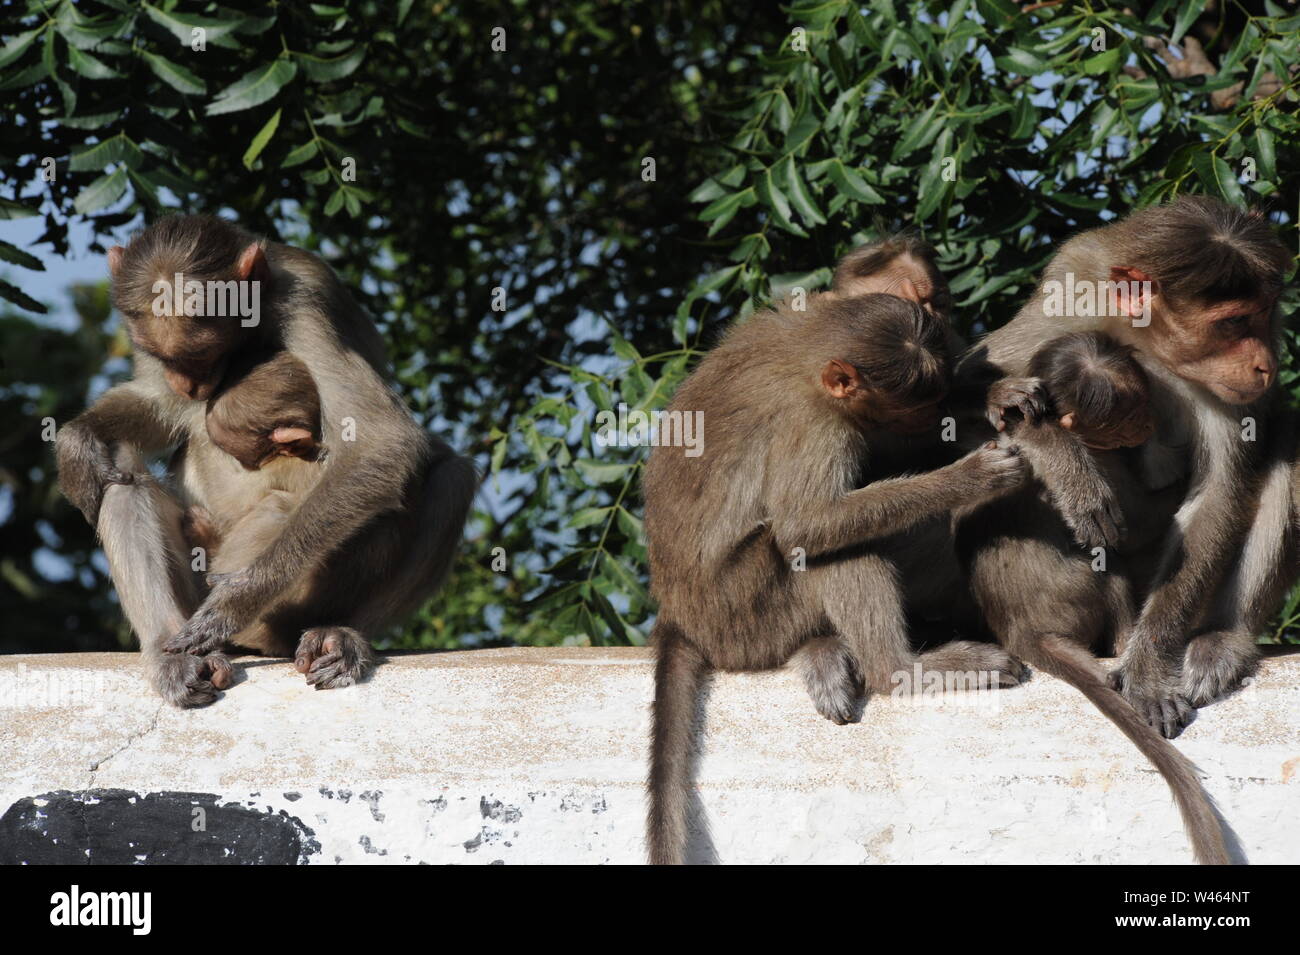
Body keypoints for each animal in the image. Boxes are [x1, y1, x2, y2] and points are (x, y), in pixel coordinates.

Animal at [56, 214, 478, 706]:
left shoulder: (306, 306)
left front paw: (234, 602)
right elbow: (156, 405)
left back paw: (341, 632)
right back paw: (170, 653)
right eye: (164, 356)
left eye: (204, 353)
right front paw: (76, 441)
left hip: (296, 607)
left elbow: (383, 442)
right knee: (121, 476)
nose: (189, 385)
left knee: (451, 477)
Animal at [643, 291, 1033, 865]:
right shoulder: (816, 424)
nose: (936, 414)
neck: (805, 352)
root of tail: (677, 614)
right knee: (826, 547)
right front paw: (970, 477)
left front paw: (992, 392)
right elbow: (808, 524)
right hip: (746, 609)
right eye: (915, 406)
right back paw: (902, 671)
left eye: (934, 399)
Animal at [954, 331, 1232, 864]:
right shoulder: (1101, 460)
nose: (1149, 426)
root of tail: (1019, 628)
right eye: (1127, 419)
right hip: (1077, 590)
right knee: (1111, 564)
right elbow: (1130, 527)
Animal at [958, 195, 1291, 738]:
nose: (1265, 364)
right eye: (1232, 323)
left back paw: (1223, 640)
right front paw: (1058, 454)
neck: (1150, 339)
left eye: (1262, 315)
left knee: (1286, 444)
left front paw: (1148, 668)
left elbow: (1218, 492)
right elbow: (965, 380)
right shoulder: (1075, 281)